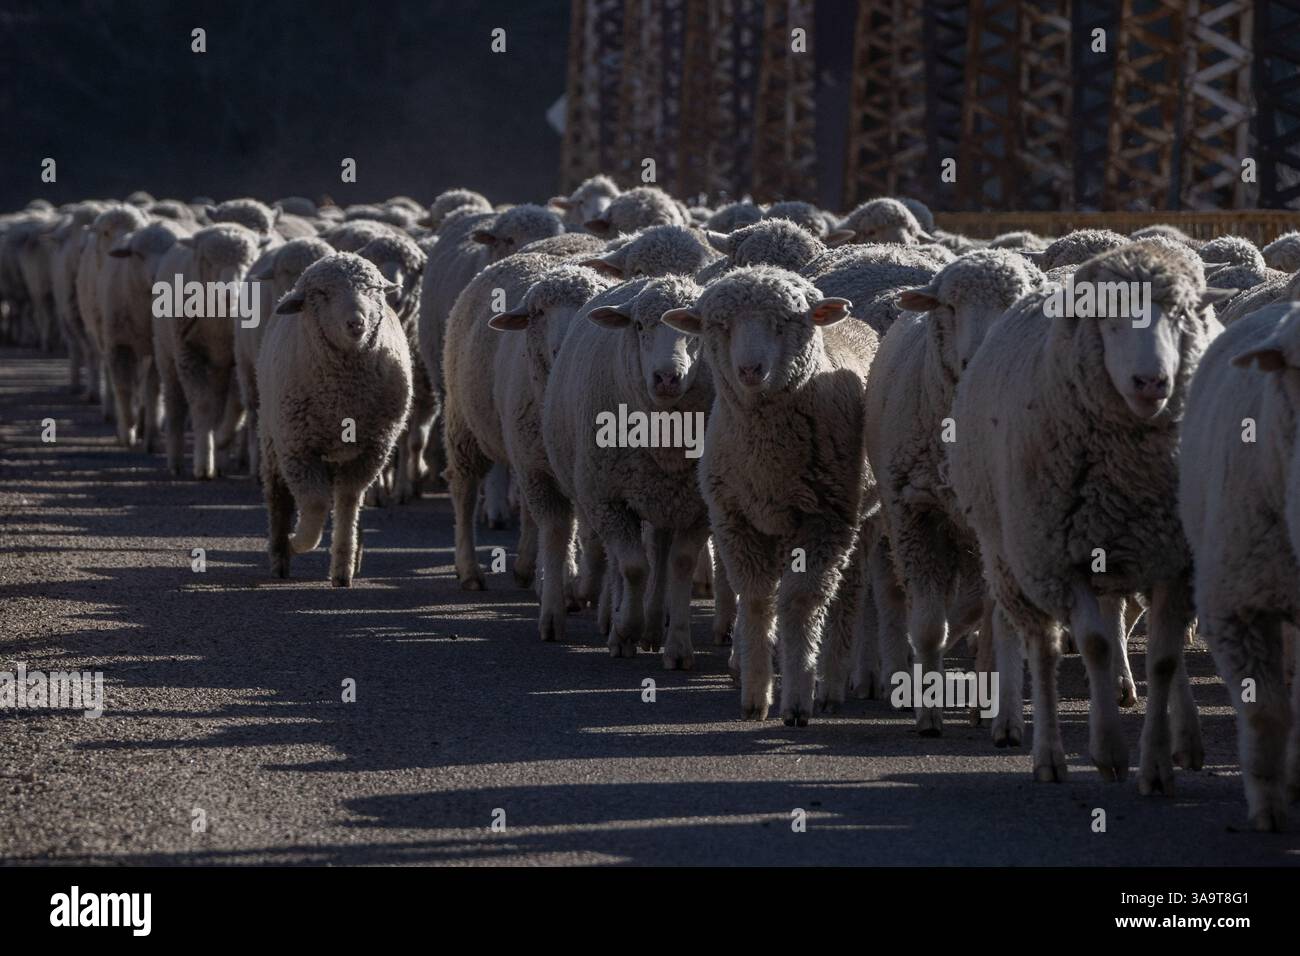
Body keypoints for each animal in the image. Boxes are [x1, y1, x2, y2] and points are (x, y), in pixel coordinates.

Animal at [257, 253, 412, 586]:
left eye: (372, 289)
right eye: (322, 294)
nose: (356, 323)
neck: (341, 395)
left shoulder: (372, 449)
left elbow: (348, 501)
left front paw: (342, 567)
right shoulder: (298, 449)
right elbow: (316, 504)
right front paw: (297, 542)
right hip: (273, 437)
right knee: (277, 496)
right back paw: (279, 554)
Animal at [542, 275, 714, 667]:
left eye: (696, 331)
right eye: (638, 326)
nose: (667, 377)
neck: (667, 440)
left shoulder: (700, 506)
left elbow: (681, 563)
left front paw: (678, 646)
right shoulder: (609, 498)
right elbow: (634, 567)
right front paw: (625, 630)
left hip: (664, 498)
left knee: (661, 554)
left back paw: (652, 628)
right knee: (619, 561)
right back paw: (619, 623)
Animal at [660, 265, 879, 724]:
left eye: (786, 323)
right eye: (720, 326)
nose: (750, 370)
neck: (767, 459)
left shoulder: (824, 522)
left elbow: (799, 602)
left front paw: (797, 698)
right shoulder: (735, 520)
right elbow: (758, 599)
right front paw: (755, 694)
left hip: (861, 519)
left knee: (848, 595)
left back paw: (831, 685)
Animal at [863, 249, 1045, 735]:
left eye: (1018, 301)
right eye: (949, 305)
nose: (977, 356)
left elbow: (1001, 621)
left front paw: (1007, 720)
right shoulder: (914, 513)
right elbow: (928, 625)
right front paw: (928, 714)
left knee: (990, 610)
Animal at [947, 240, 1229, 789]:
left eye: (1180, 315)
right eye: (1111, 321)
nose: (1151, 381)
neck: (1134, 475)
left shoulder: (1177, 561)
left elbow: (1164, 658)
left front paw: (1156, 765)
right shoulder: (1062, 560)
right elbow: (1094, 644)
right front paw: (1109, 751)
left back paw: (1186, 740)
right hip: (1015, 552)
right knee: (1042, 646)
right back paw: (1047, 754)